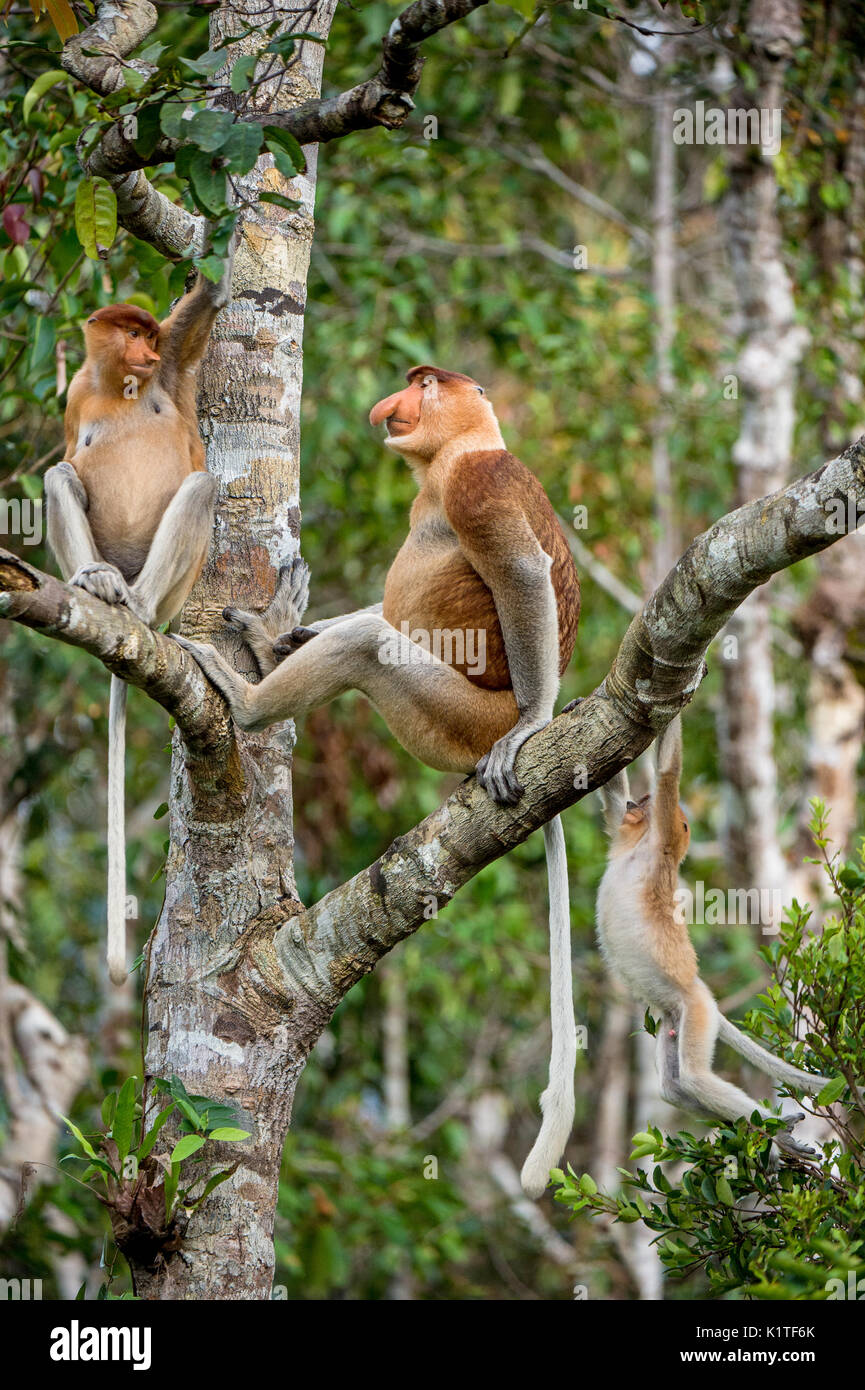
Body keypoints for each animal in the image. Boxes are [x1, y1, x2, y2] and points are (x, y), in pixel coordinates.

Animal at [43, 256, 233, 985]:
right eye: (130, 333)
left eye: (152, 336)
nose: (146, 353)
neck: (116, 385)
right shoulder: (75, 396)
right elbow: (69, 455)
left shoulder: (175, 369)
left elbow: (207, 302)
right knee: (60, 474)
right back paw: (97, 586)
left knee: (200, 486)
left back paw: (143, 609)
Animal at [172, 365, 581, 1198]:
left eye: (424, 384)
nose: (388, 409)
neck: (454, 454)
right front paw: (288, 630)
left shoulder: (475, 487)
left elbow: (521, 573)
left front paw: (532, 722)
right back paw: (269, 642)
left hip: (458, 716)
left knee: (371, 642)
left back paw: (248, 698)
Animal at [596, 715, 832, 1158]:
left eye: (648, 799)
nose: (639, 803)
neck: (637, 850)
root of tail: (698, 988)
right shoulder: (628, 836)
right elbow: (612, 802)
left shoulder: (663, 836)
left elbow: (668, 772)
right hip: (674, 1017)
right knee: (674, 1088)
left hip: (696, 1010)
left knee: (693, 1078)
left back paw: (777, 1134)